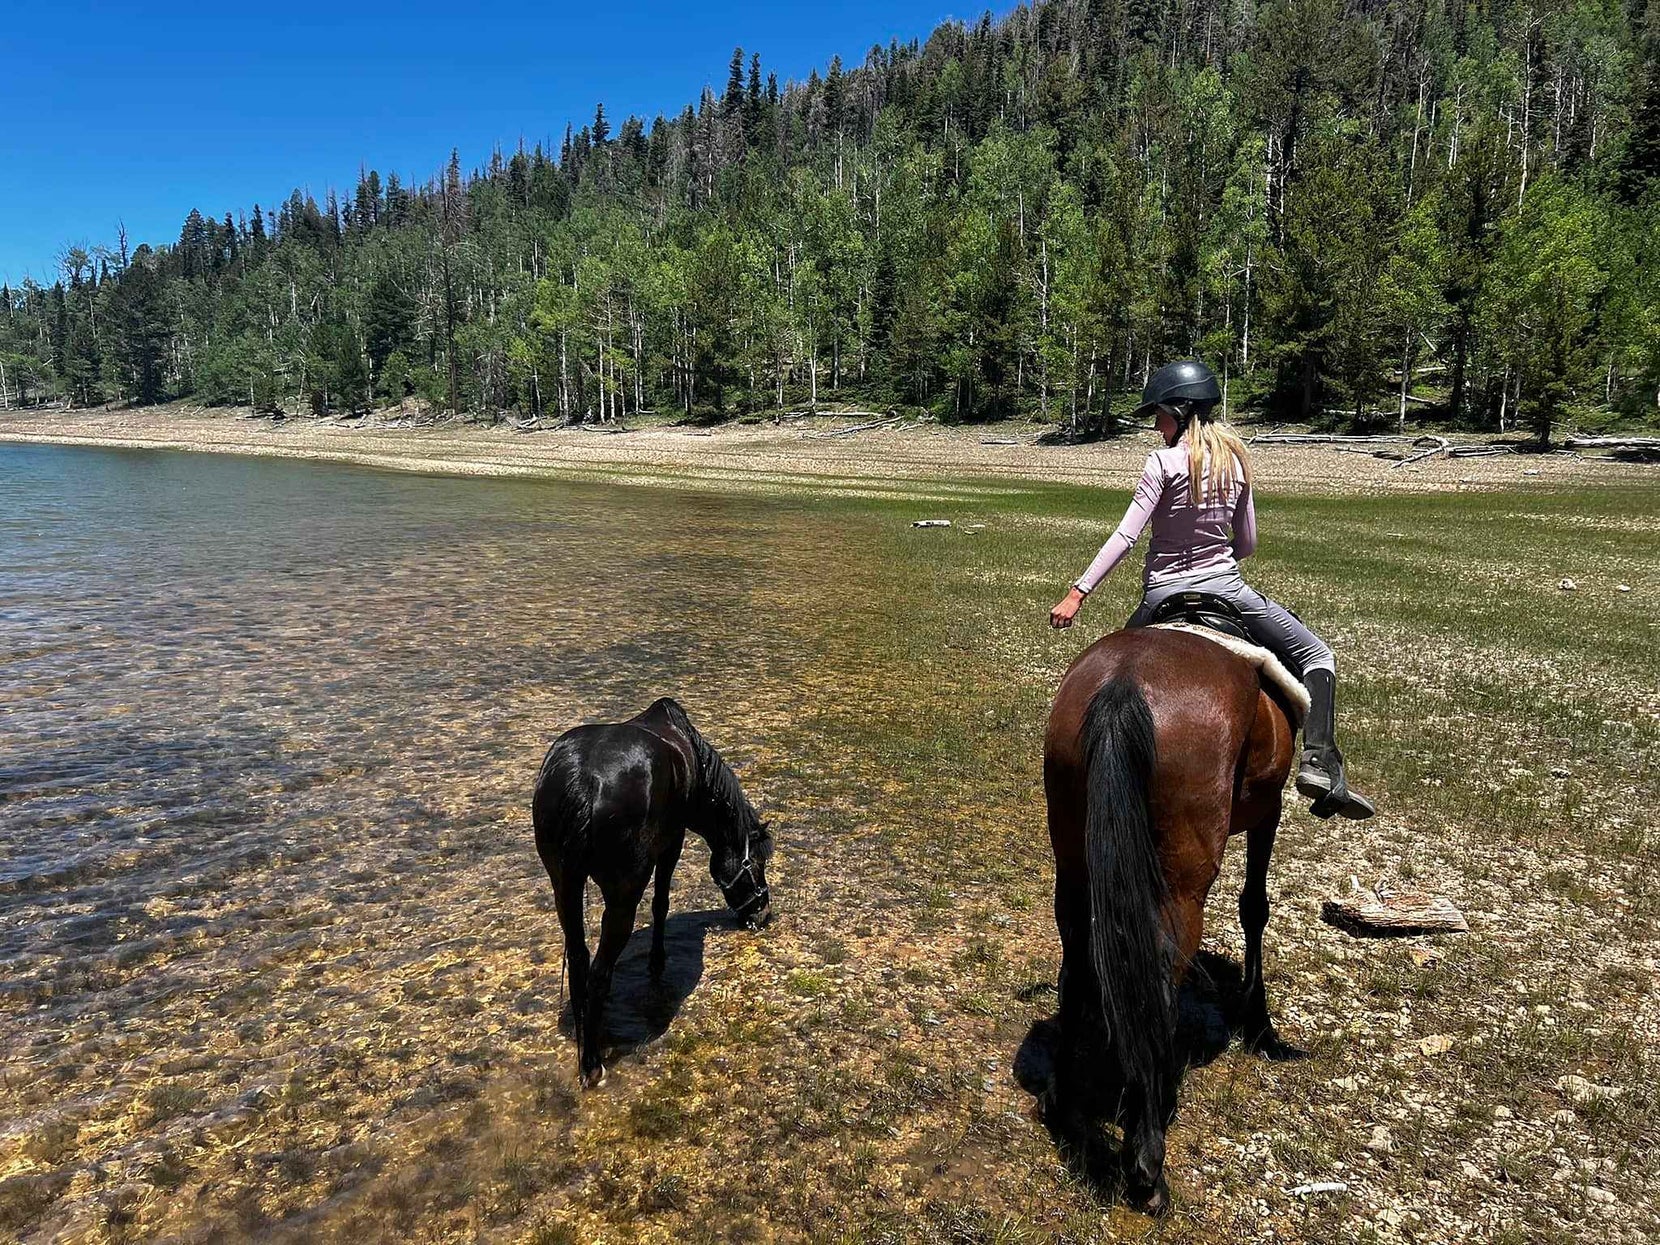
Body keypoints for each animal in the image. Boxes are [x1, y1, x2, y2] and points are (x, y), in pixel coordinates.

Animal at [532, 697, 773, 1088]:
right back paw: (593, 1065)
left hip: (564, 887)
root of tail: (582, 782)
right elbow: (661, 904)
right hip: (622, 896)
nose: (762, 913)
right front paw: (657, 960)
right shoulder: (672, 844)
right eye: (759, 864)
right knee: (599, 972)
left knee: (581, 963)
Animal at [1043, 625, 1304, 1214]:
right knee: (1161, 980)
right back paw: (1147, 1159)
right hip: (1183, 882)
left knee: (1077, 956)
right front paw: (1260, 1024)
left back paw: (1067, 1099)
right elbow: (1255, 906)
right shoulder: (1270, 807)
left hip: (1072, 851)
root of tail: (1124, 684)